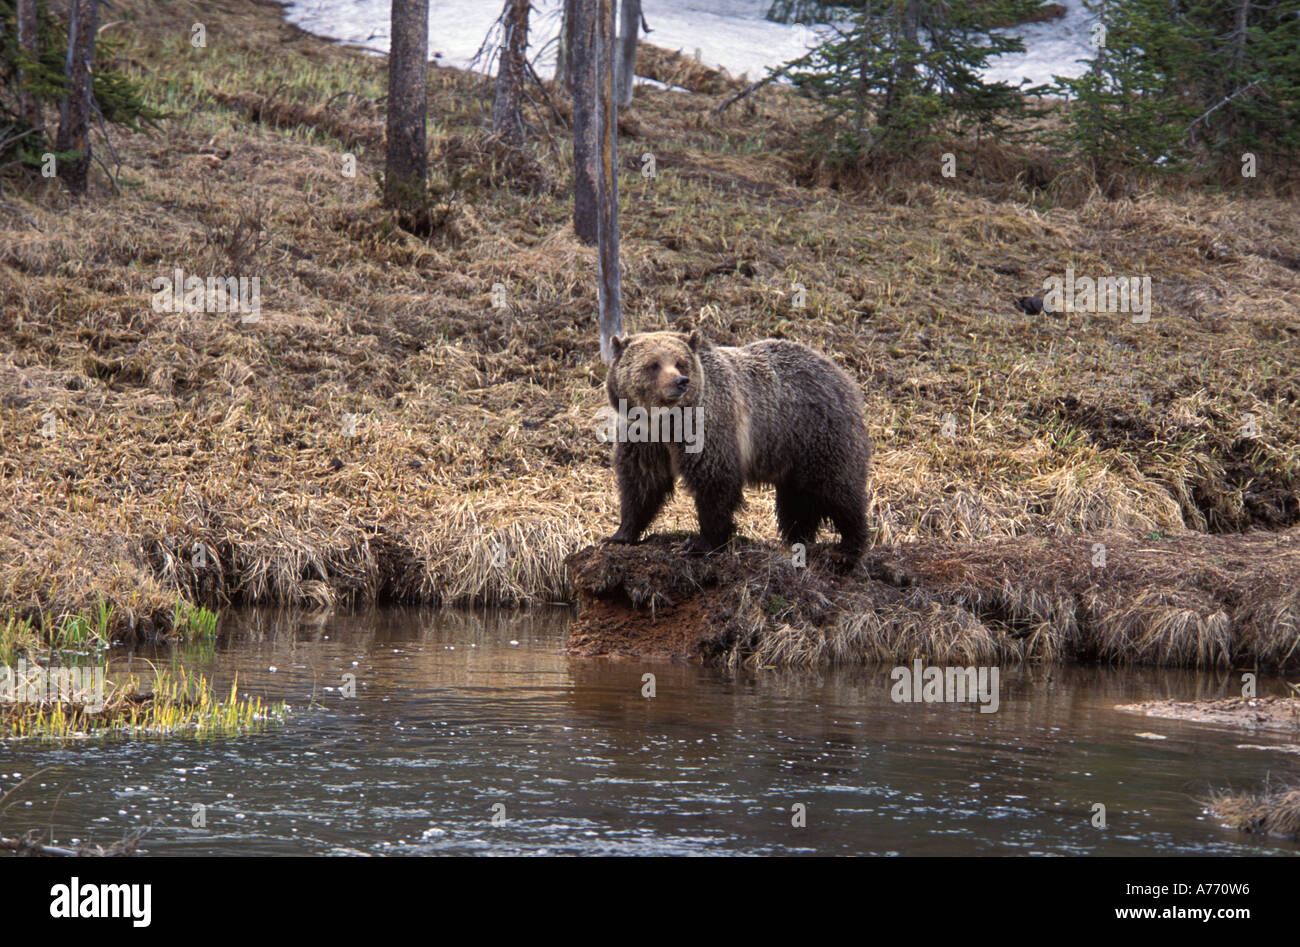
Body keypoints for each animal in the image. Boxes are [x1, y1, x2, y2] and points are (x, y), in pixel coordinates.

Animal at [604, 329, 872, 569]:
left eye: (680, 363)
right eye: (653, 364)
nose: (680, 382)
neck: (666, 423)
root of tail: (841, 373)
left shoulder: (709, 428)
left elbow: (714, 482)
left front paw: (700, 543)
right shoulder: (643, 438)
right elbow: (642, 483)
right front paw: (619, 535)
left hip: (817, 435)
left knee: (837, 491)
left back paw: (847, 549)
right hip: (792, 453)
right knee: (796, 502)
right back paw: (797, 541)